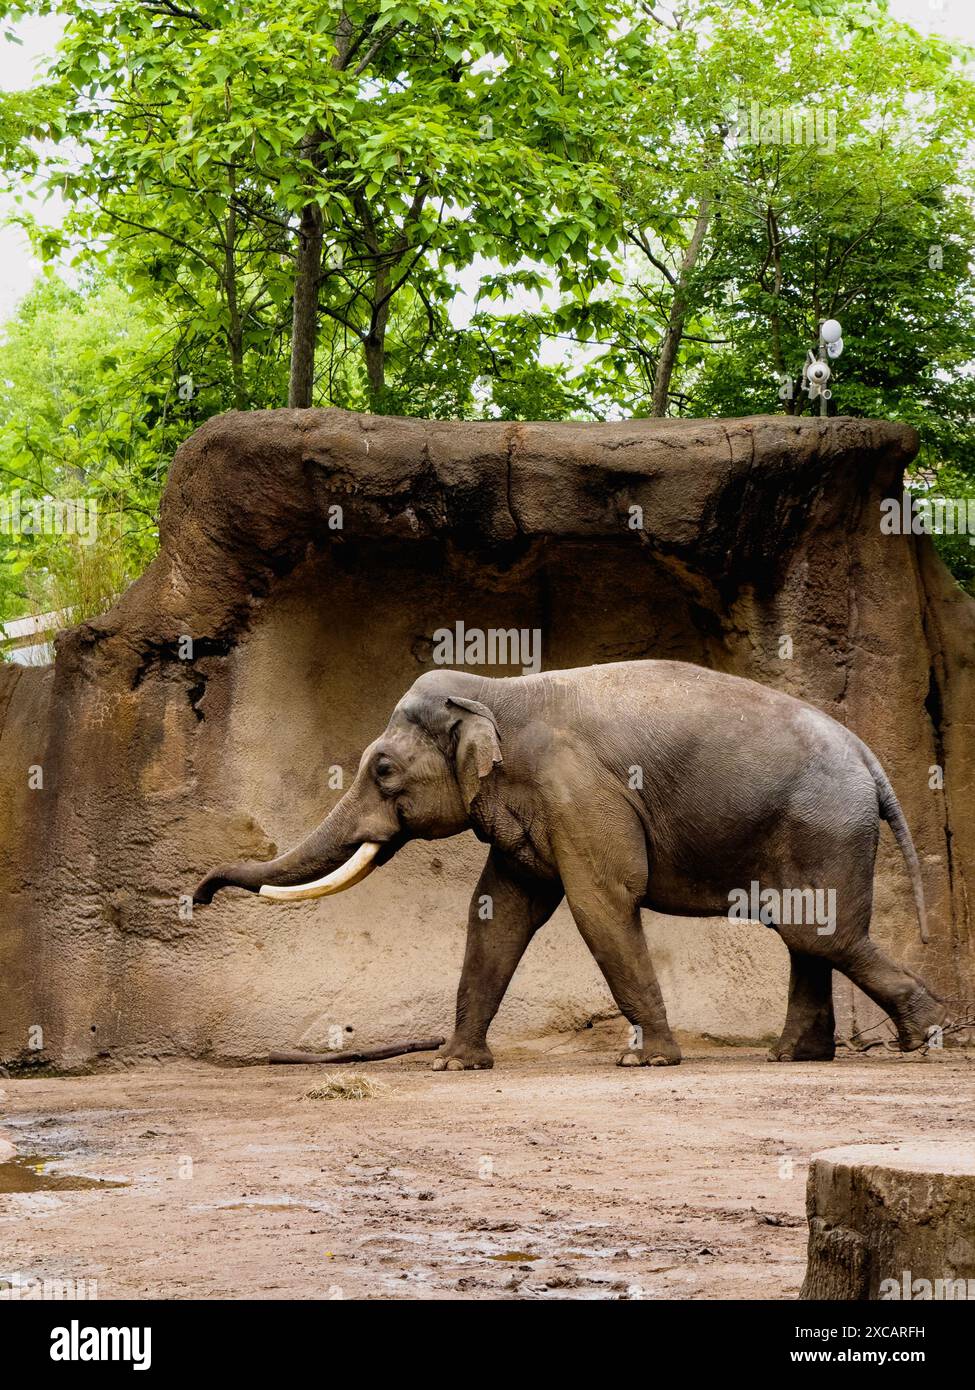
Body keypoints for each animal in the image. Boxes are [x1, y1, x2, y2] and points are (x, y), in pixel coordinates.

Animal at [194, 659, 946, 1070]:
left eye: (382, 770)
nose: (198, 896)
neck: (496, 690)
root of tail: (868, 754)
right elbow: (499, 913)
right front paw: (452, 1064)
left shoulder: (576, 789)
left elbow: (601, 901)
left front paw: (644, 1059)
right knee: (803, 934)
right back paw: (795, 1056)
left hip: (825, 822)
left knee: (820, 933)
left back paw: (923, 1037)